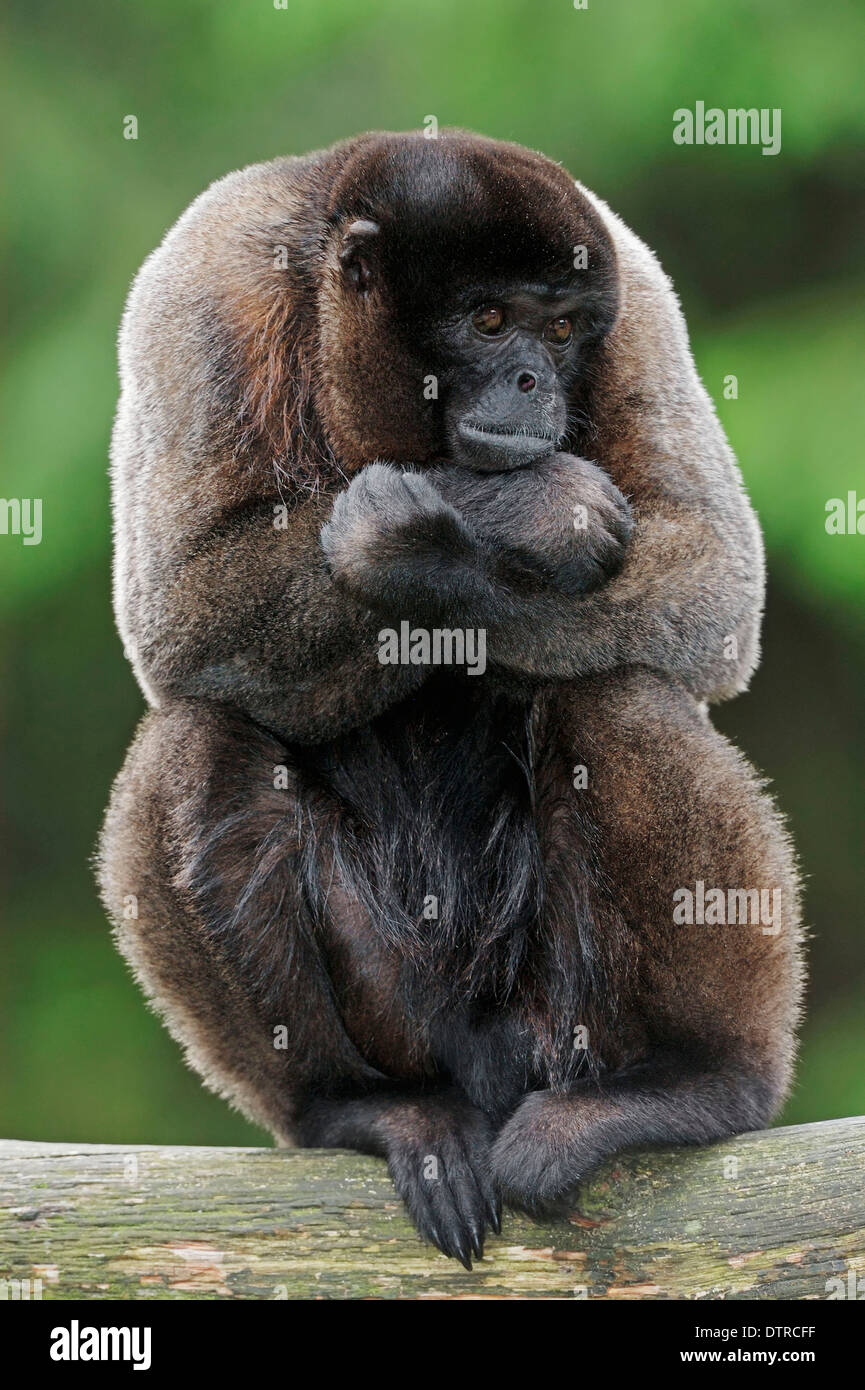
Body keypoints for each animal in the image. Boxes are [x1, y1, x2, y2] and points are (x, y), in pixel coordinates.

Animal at [98, 130, 803, 1270]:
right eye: (487, 322)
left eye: (559, 330)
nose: (530, 379)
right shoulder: (203, 284)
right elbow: (179, 613)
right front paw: (522, 511)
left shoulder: (634, 296)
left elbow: (711, 580)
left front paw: (449, 534)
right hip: (400, 1010)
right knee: (196, 735)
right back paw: (353, 1107)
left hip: (560, 1024)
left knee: (619, 696)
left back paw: (699, 1084)